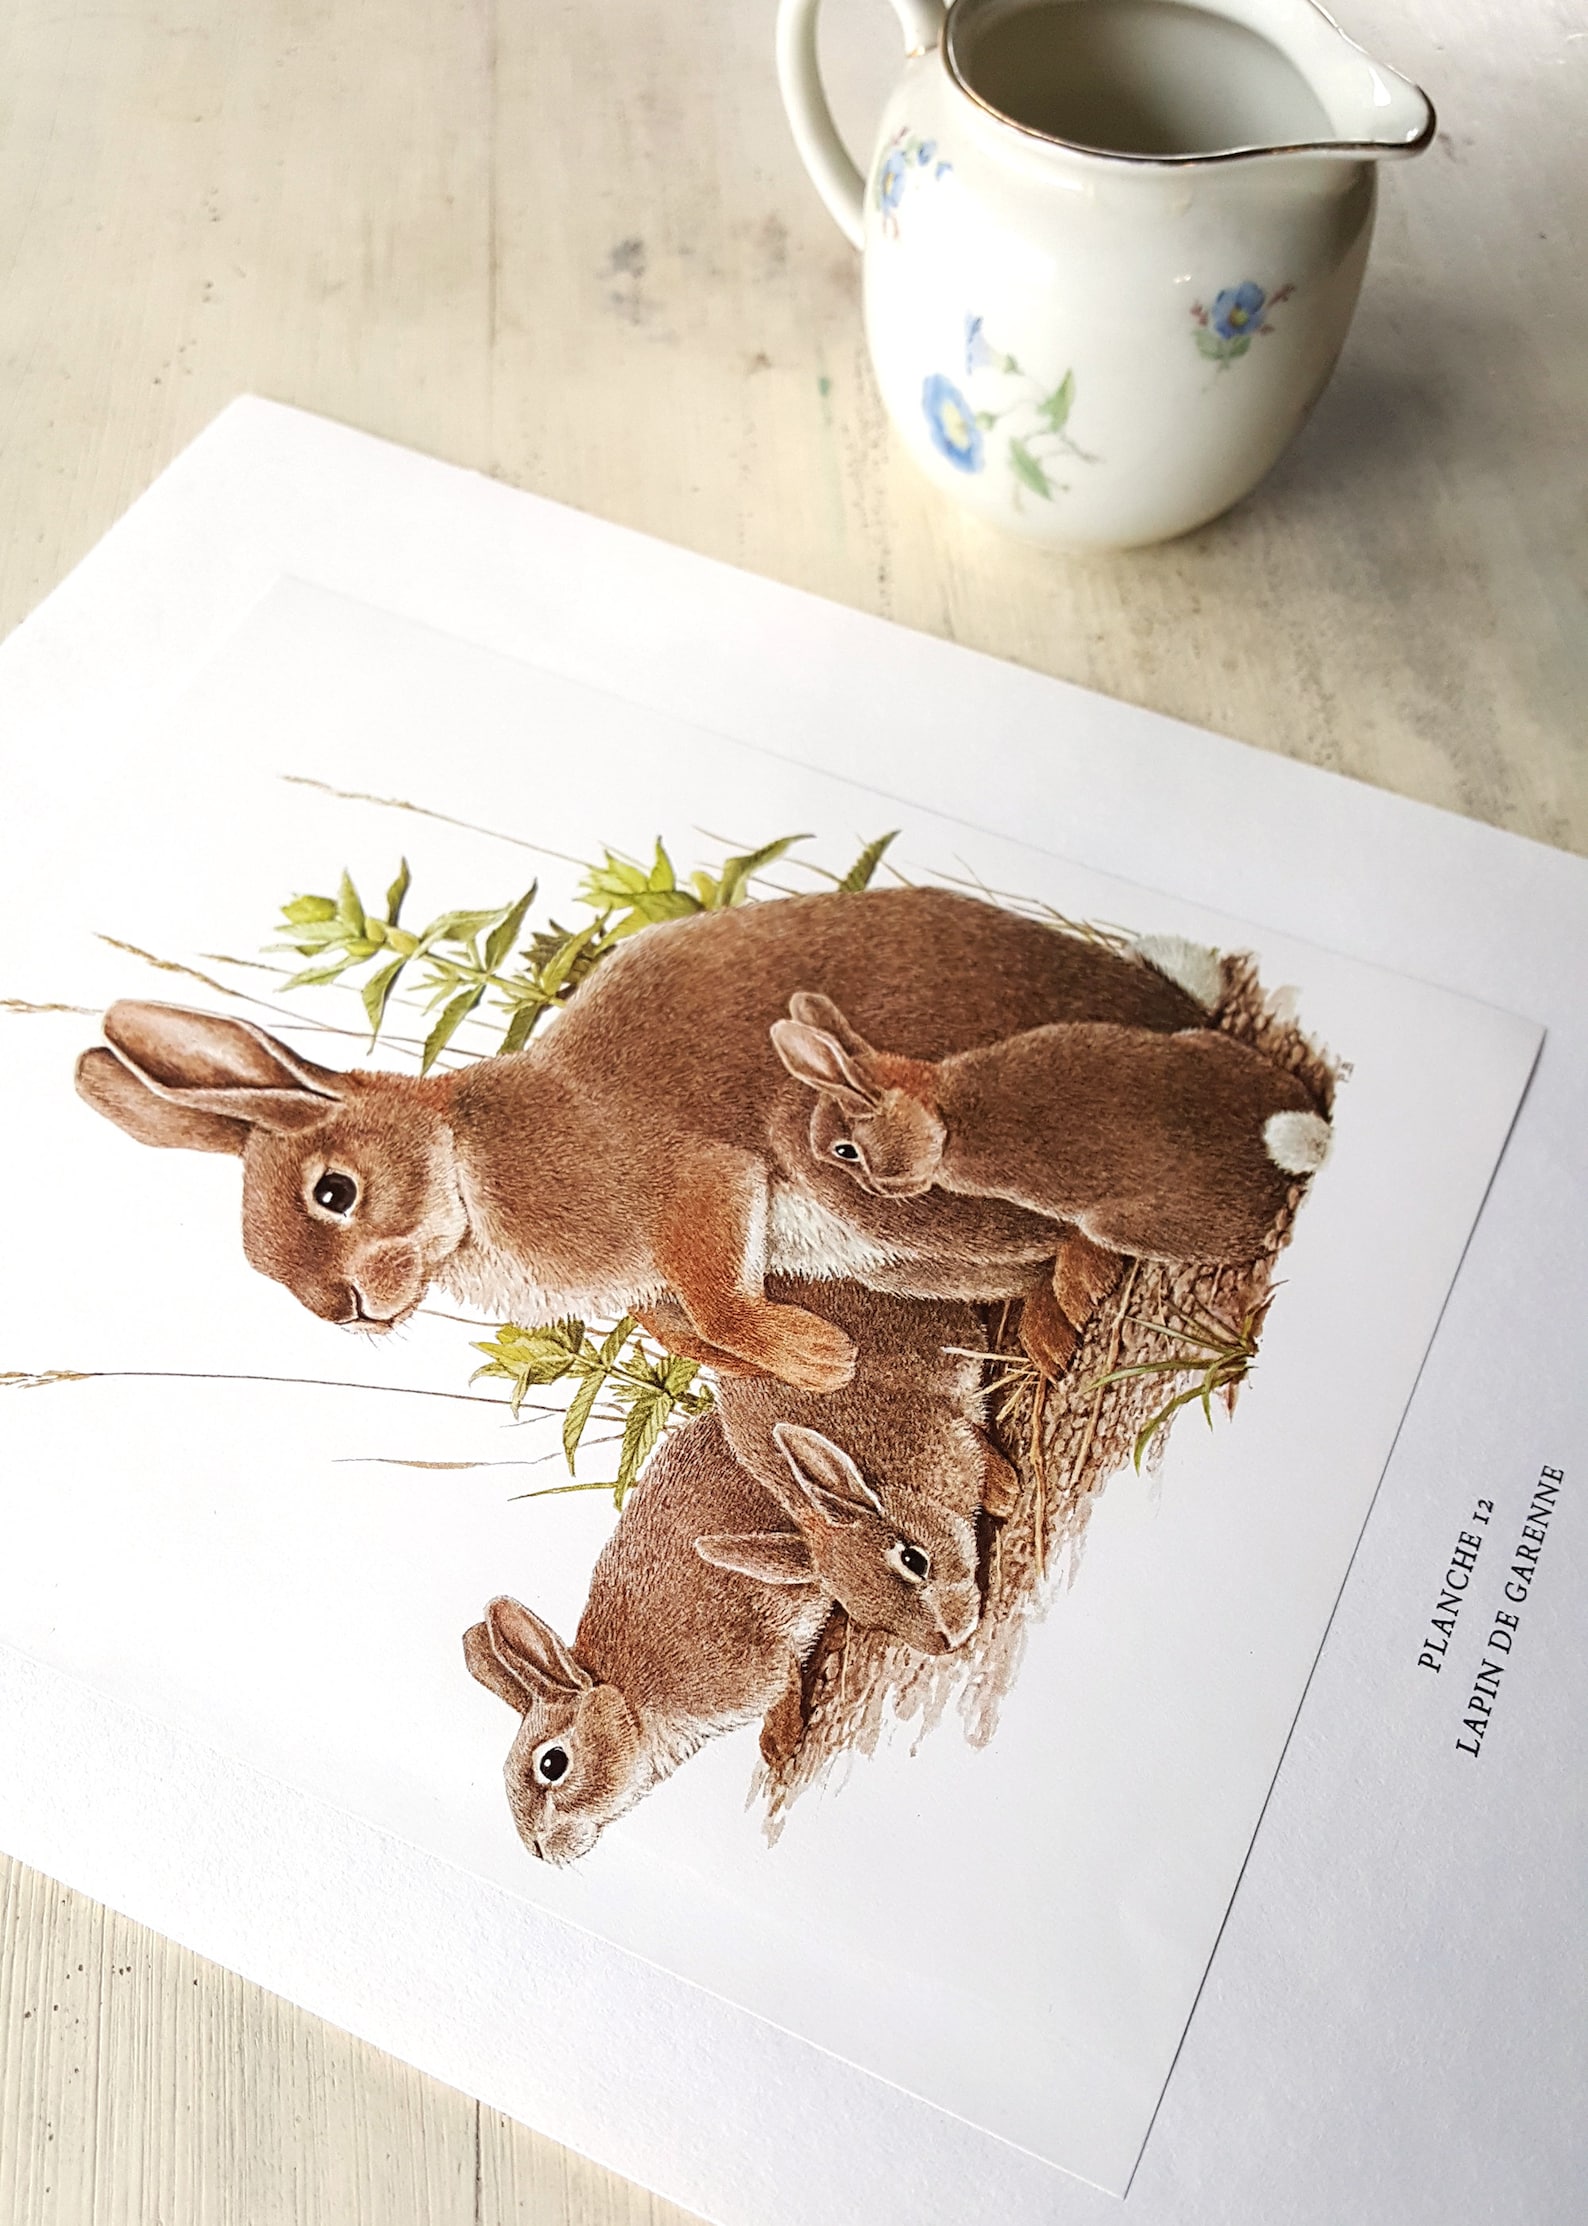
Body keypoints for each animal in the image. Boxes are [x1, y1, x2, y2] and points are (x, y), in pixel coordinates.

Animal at [76, 885, 1214, 1395]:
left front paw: (812, 1356)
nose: (343, 1311)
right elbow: (693, 1331)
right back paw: (1045, 1336)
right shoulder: (653, 1286)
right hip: (903, 1257)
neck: (464, 1166)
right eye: (261, 1271)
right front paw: (810, 1366)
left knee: (1080, 1221)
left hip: (890, 1186)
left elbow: (717, 1298)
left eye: (334, 1193)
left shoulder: (696, 1186)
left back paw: (1074, 1304)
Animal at [464, 1409, 832, 1864]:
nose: (537, 1850)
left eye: (552, 1764)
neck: (630, 1701)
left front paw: (780, 1744)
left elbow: (785, 1680)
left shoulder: (747, 1669)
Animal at [697, 1277, 1018, 1655]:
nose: (948, 1642)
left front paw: (1005, 1492)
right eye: (867, 1619)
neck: (899, 1484)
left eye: (914, 1560)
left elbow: (974, 1435)